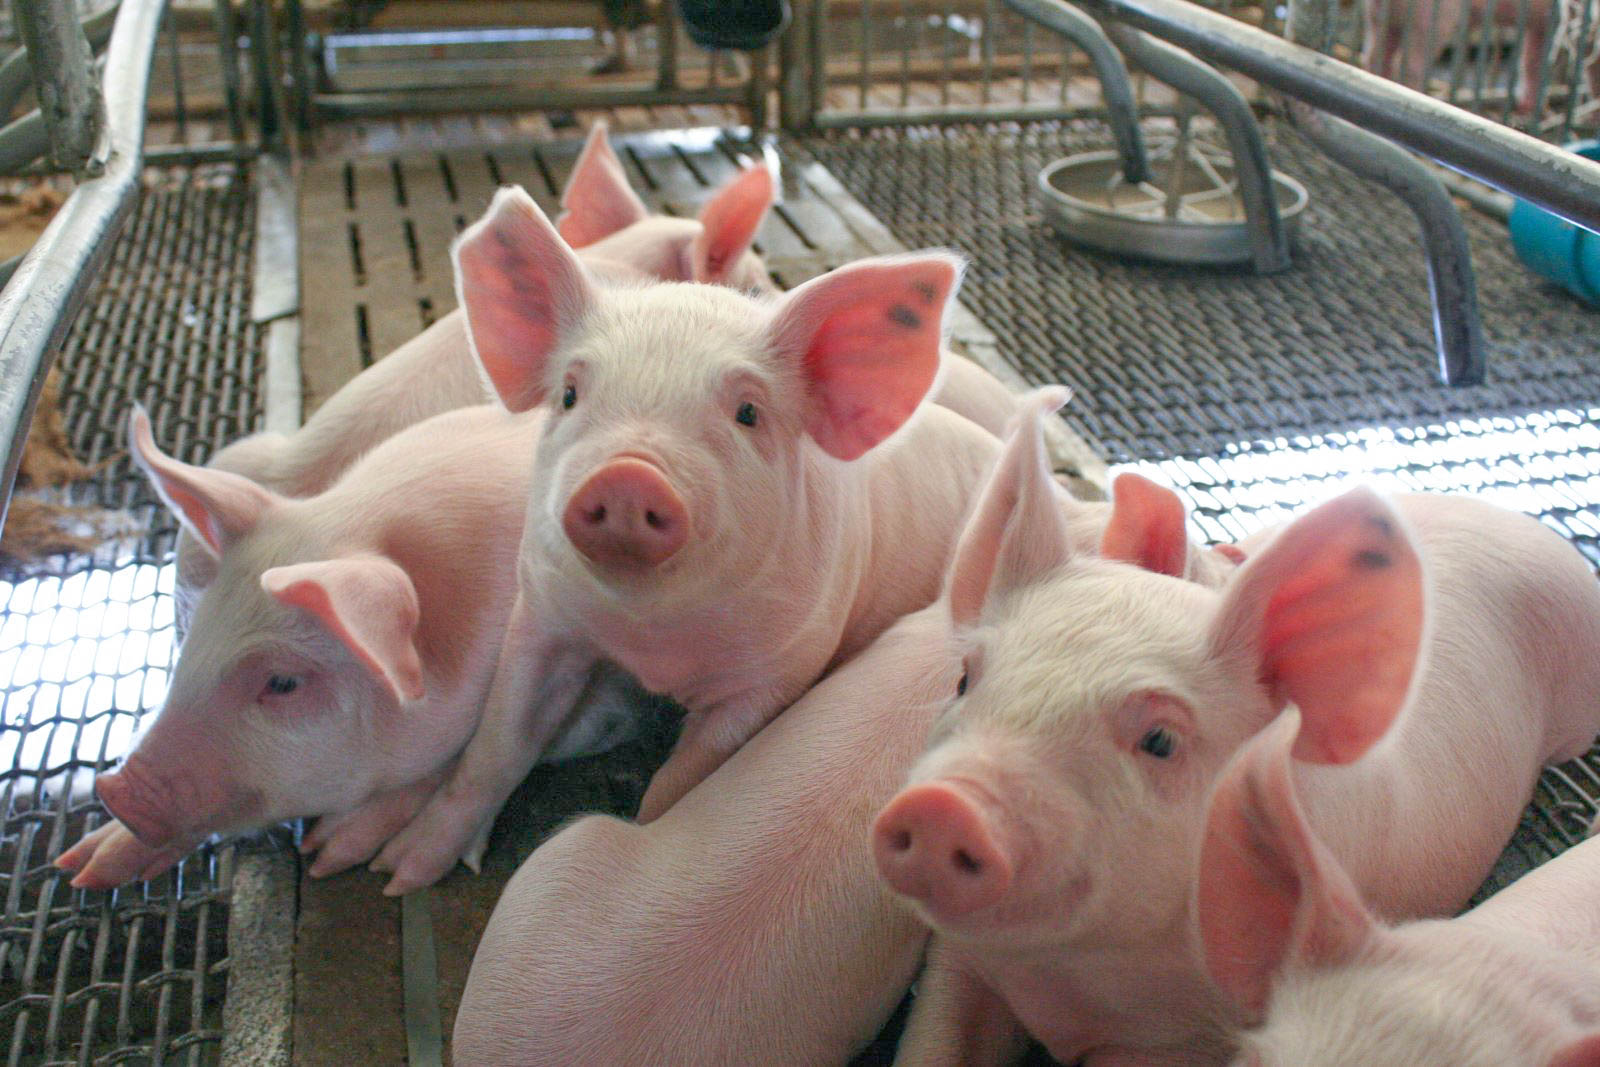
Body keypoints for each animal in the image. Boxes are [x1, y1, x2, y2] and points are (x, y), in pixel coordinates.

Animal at [56, 403, 649, 890]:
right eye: (196, 636)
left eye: (283, 682)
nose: (115, 789)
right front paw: (83, 867)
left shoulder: (604, 700)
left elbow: (477, 752)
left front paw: (340, 857)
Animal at [363, 185, 1029, 896]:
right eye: (570, 393)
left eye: (748, 413)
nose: (629, 474)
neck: (653, 641)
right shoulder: (542, 615)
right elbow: (496, 747)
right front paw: (396, 875)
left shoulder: (776, 672)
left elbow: (677, 784)